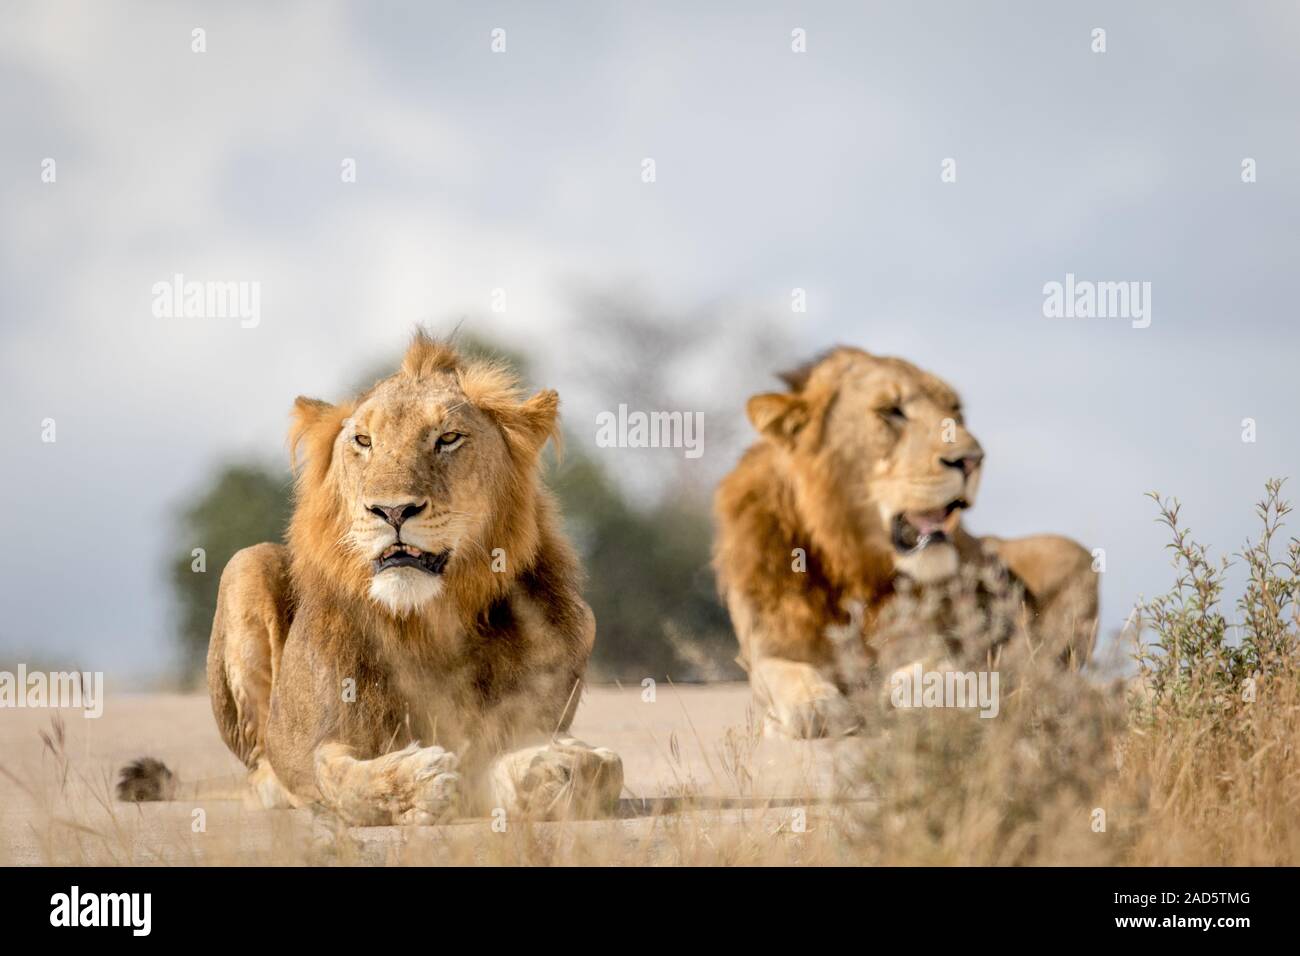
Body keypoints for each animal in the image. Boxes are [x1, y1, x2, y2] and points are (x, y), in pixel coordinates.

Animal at [118, 332, 622, 824]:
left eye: (448, 438)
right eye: (363, 440)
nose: (392, 511)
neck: (428, 624)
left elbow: (592, 768)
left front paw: (556, 771)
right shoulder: (320, 742)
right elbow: (337, 780)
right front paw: (417, 783)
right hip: (246, 563)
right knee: (259, 769)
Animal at [712, 346, 1099, 739]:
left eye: (955, 410)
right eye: (891, 411)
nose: (972, 460)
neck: (851, 566)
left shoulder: (937, 642)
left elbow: (942, 666)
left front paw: (914, 689)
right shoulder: (765, 649)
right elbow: (782, 673)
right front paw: (814, 703)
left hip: (1071, 552)